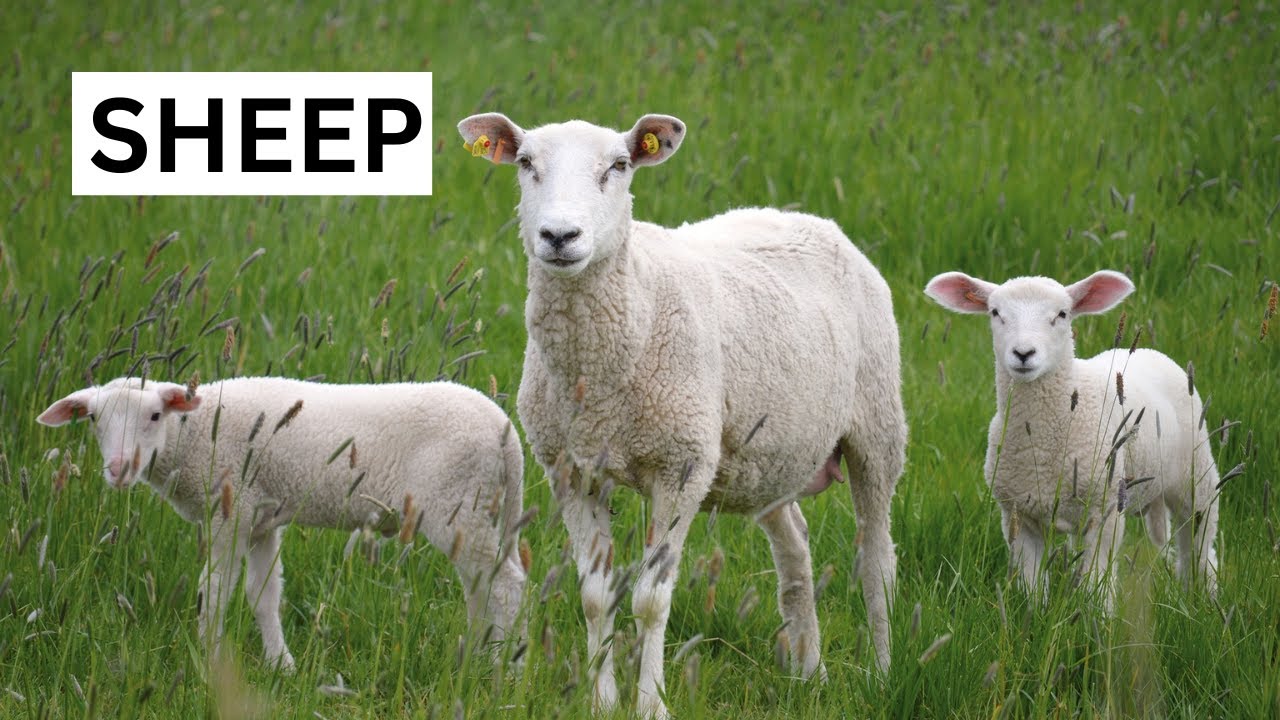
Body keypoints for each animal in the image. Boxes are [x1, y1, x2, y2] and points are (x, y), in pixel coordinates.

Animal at [37, 376, 527, 669]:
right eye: (94, 419)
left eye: (155, 416)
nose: (119, 469)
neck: (193, 436)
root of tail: (505, 429)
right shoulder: (261, 519)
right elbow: (263, 595)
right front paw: (281, 665)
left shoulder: (230, 513)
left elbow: (214, 593)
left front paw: (210, 662)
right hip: (477, 510)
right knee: (481, 587)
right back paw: (479, 657)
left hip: (458, 504)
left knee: (506, 587)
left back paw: (506, 669)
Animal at [458, 112, 905, 718]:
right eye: (526, 163)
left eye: (619, 166)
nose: (560, 237)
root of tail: (814, 220)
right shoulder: (572, 469)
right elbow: (595, 595)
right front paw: (601, 701)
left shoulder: (681, 468)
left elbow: (650, 600)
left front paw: (651, 704)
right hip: (771, 457)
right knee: (795, 550)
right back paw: (810, 673)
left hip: (877, 426)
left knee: (877, 558)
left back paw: (882, 675)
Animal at [924, 270, 1220, 609]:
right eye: (995, 313)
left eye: (1062, 314)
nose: (1023, 354)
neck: (1042, 442)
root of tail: (1149, 352)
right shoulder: (1020, 516)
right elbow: (1032, 584)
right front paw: (1035, 616)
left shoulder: (1104, 512)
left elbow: (1097, 583)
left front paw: (1100, 618)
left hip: (1197, 476)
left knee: (1199, 544)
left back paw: (1204, 597)